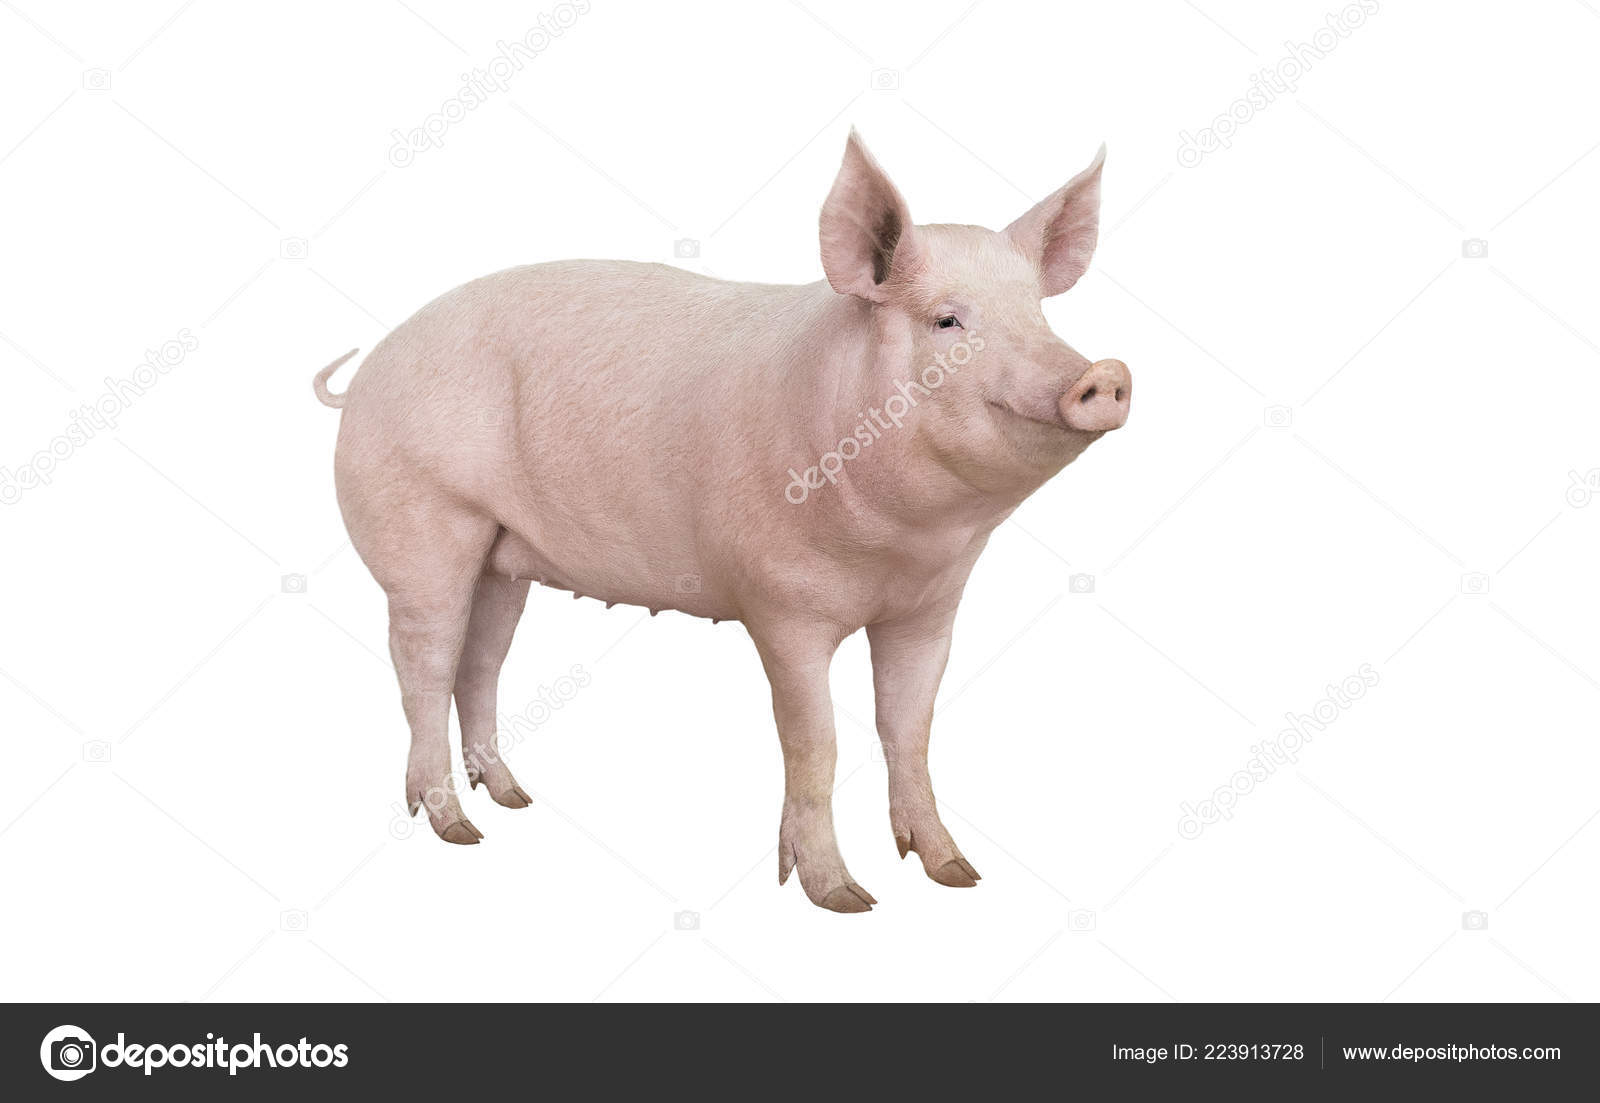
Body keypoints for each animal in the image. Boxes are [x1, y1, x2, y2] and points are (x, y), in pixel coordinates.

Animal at [313, 131, 1130, 912]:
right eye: (947, 320)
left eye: (1040, 315)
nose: (1106, 374)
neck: (900, 550)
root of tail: (368, 373)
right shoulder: (780, 604)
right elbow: (816, 744)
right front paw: (843, 898)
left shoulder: (930, 608)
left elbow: (910, 731)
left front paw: (957, 874)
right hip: (422, 529)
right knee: (423, 668)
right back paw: (458, 830)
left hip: (503, 557)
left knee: (479, 664)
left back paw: (514, 799)